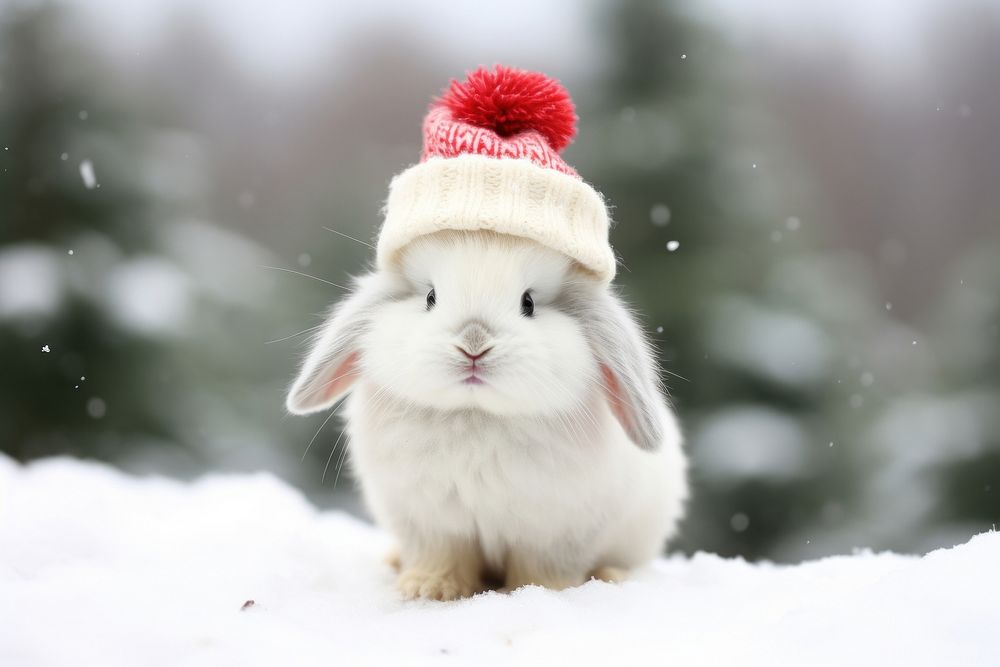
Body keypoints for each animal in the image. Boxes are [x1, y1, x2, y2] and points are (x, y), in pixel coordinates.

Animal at [286, 229, 688, 600]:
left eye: (528, 303)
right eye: (430, 297)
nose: (473, 343)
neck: (475, 414)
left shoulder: (555, 533)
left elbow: (543, 568)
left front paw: (537, 591)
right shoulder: (433, 525)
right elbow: (442, 557)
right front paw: (428, 588)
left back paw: (611, 575)